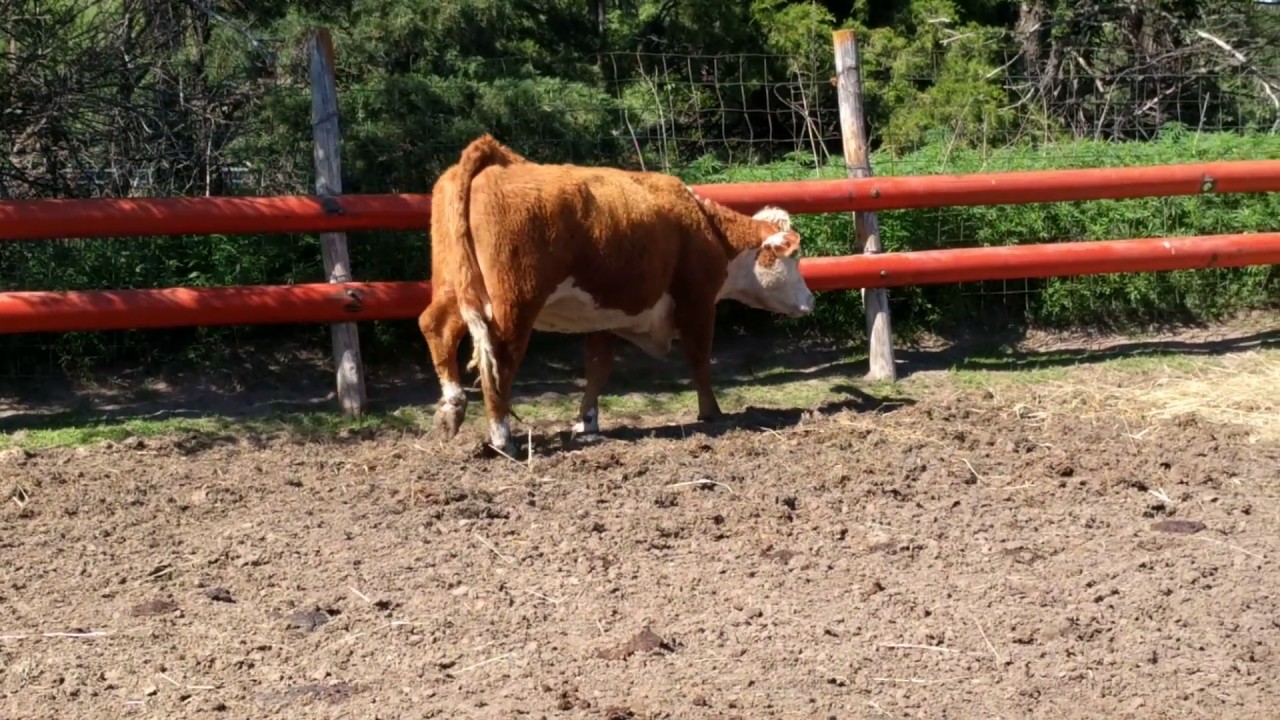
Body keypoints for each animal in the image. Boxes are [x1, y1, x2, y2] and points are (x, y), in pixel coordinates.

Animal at [418, 134, 815, 457]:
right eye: (794, 258)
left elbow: (598, 367)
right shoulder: (697, 303)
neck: (706, 228)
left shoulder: (603, 314)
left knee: (435, 326)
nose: (810, 300)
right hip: (514, 304)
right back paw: (503, 438)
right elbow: (699, 359)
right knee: (499, 358)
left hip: (457, 286)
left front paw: (587, 421)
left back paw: (451, 411)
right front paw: (712, 413)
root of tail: (492, 160)